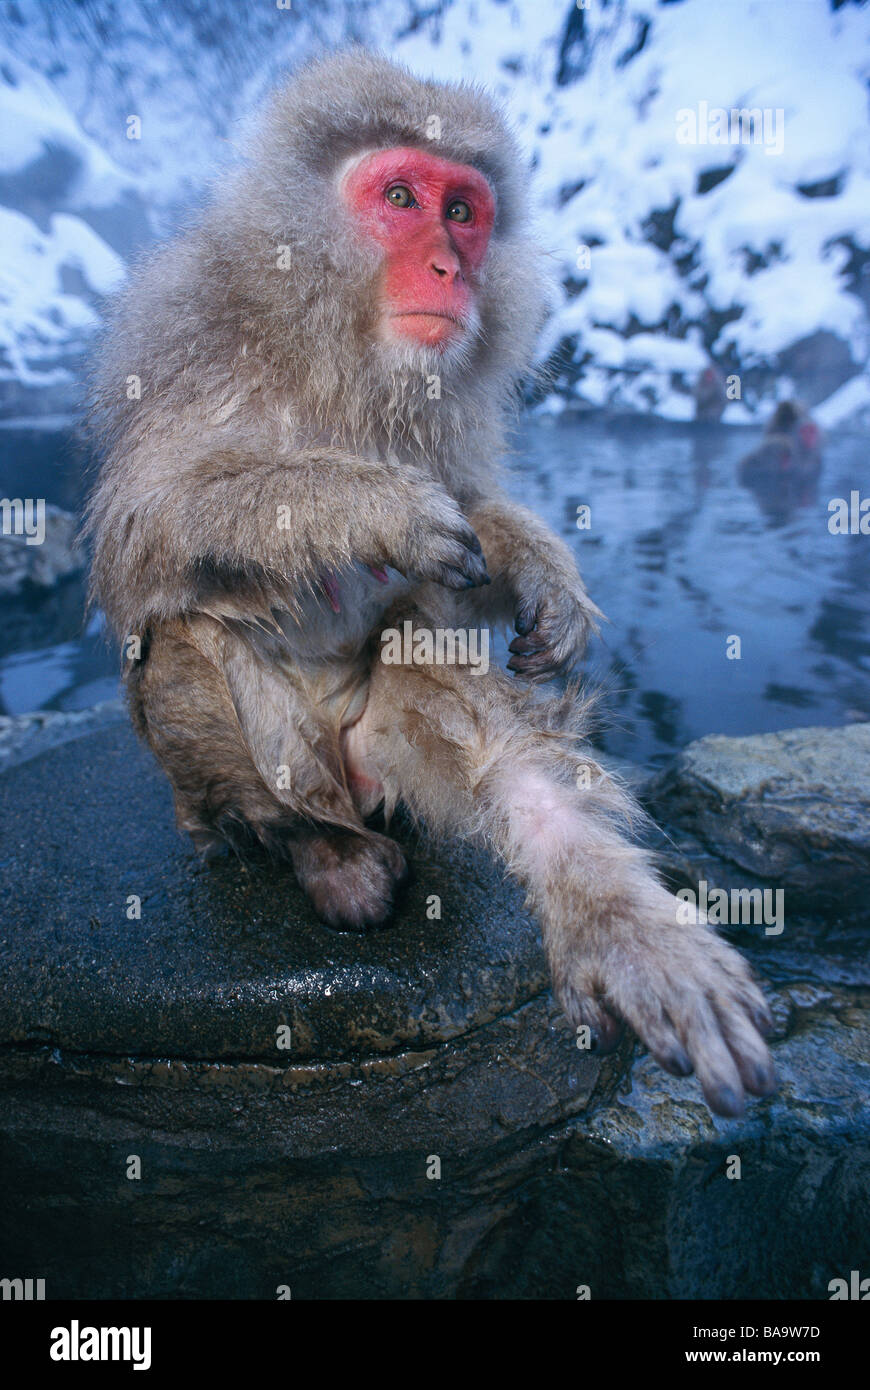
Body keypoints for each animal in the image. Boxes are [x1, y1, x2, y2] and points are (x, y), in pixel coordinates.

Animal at [86, 50, 775, 1118]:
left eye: (462, 211)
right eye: (401, 198)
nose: (451, 267)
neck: (337, 351)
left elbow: (465, 545)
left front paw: (540, 568)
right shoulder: (186, 336)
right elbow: (146, 530)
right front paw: (371, 506)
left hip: (383, 758)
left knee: (433, 676)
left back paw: (604, 905)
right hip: (249, 783)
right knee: (195, 646)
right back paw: (320, 850)